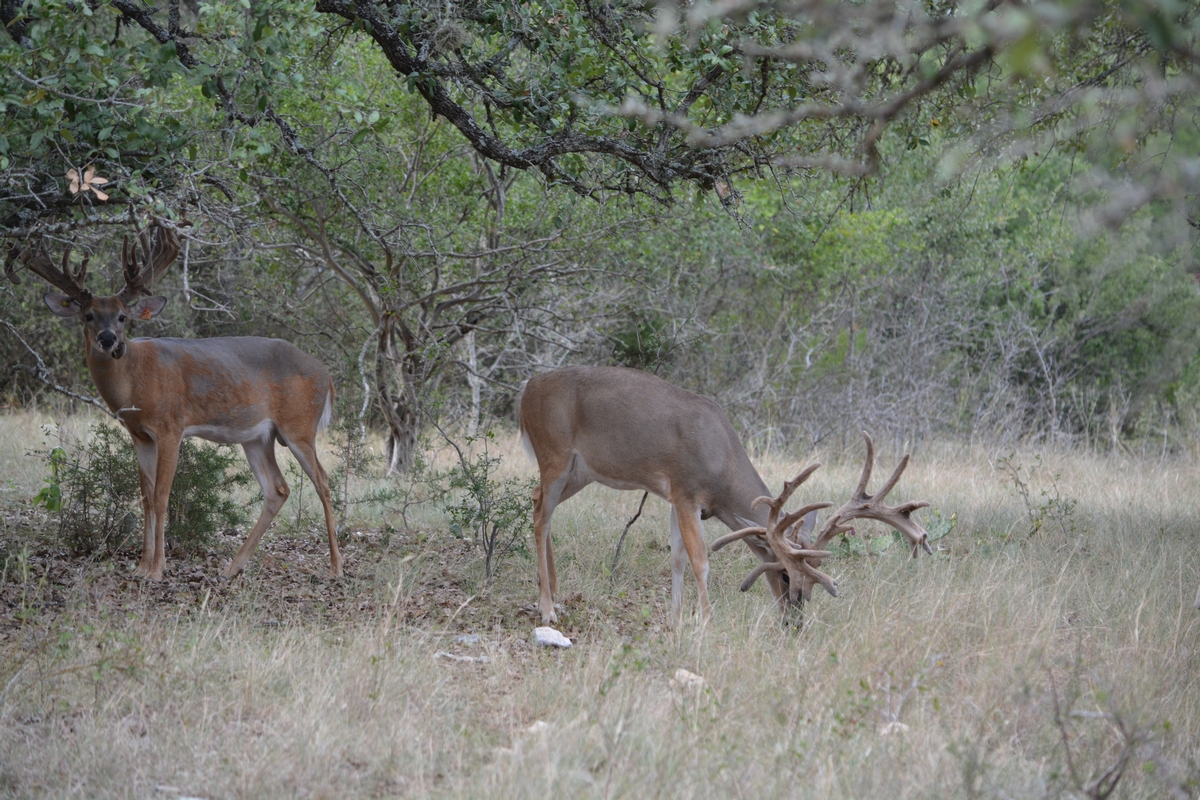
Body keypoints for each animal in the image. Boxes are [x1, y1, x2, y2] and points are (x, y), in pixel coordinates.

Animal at [14, 220, 343, 581]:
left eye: (122, 316)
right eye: (88, 315)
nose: (108, 340)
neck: (135, 382)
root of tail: (327, 375)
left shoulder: (171, 426)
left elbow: (161, 496)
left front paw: (157, 569)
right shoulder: (140, 435)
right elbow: (145, 496)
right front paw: (141, 567)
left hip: (299, 425)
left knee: (323, 481)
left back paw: (336, 566)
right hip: (257, 436)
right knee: (278, 489)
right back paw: (233, 567)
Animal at [516, 365, 931, 624]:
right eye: (784, 576)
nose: (794, 622)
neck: (722, 462)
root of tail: (526, 388)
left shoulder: (677, 498)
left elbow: (676, 558)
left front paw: (677, 619)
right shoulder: (686, 491)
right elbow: (700, 561)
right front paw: (706, 620)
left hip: (580, 472)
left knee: (538, 502)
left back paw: (554, 593)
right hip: (554, 454)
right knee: (540, 515)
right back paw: (547, 608)